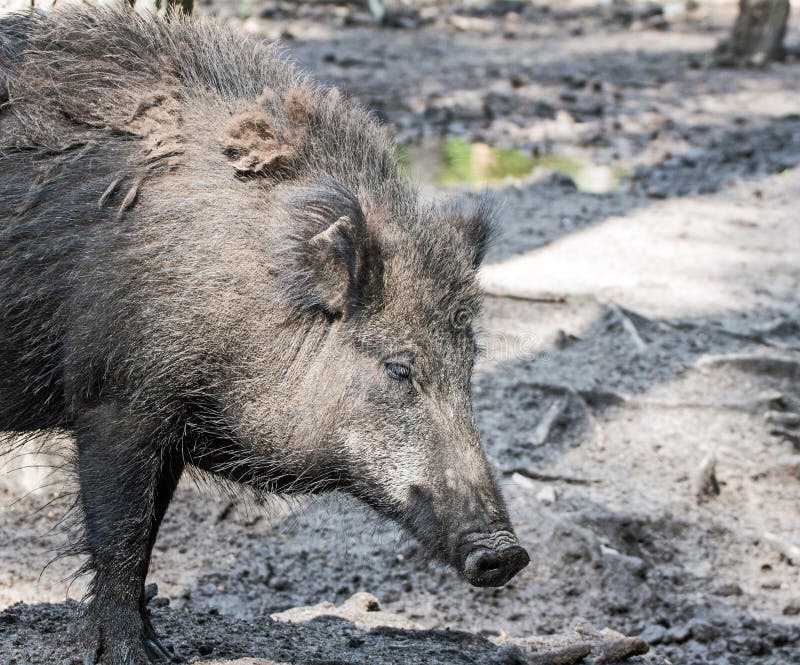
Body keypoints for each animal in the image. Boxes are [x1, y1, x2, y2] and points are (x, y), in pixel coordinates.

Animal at [0, 6, 529, 664]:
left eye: (470, 360)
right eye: (398, 367)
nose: (508, 554)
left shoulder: (167, 429)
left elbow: (147, 535)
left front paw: (163, 644)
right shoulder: (116, 400)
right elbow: (121, 534)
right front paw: (137, 653)